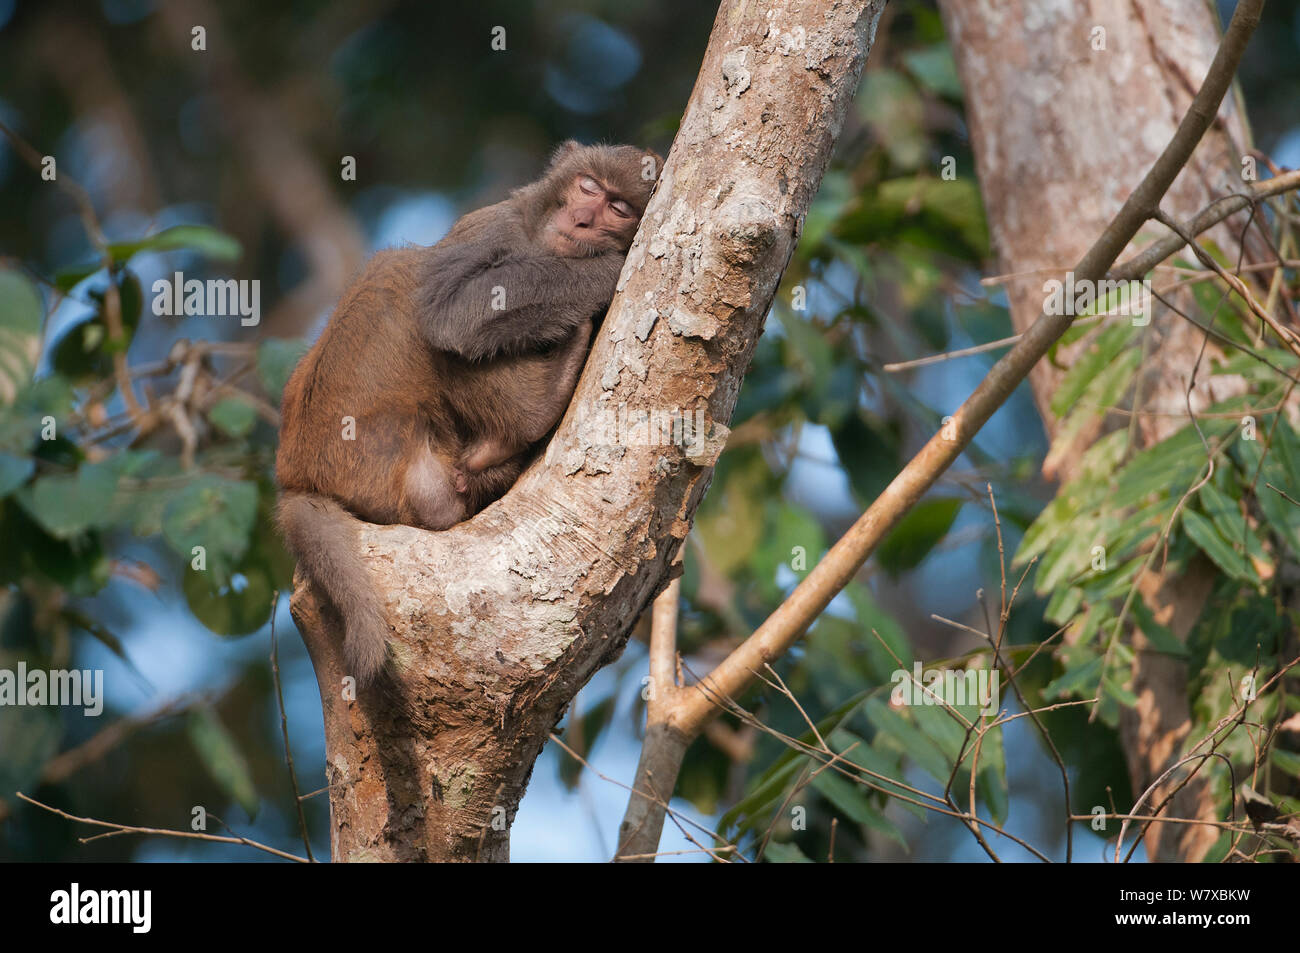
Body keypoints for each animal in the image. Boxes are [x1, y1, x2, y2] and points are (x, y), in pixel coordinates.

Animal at [275, 141, 662, 685]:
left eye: (619, 208)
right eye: (588, 186)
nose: (584, 220)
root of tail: (299, 479)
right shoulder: (491, 229)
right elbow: (454, 312)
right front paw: (607, 269)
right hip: (364, 445)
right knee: (405, 276)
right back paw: (534, 410)